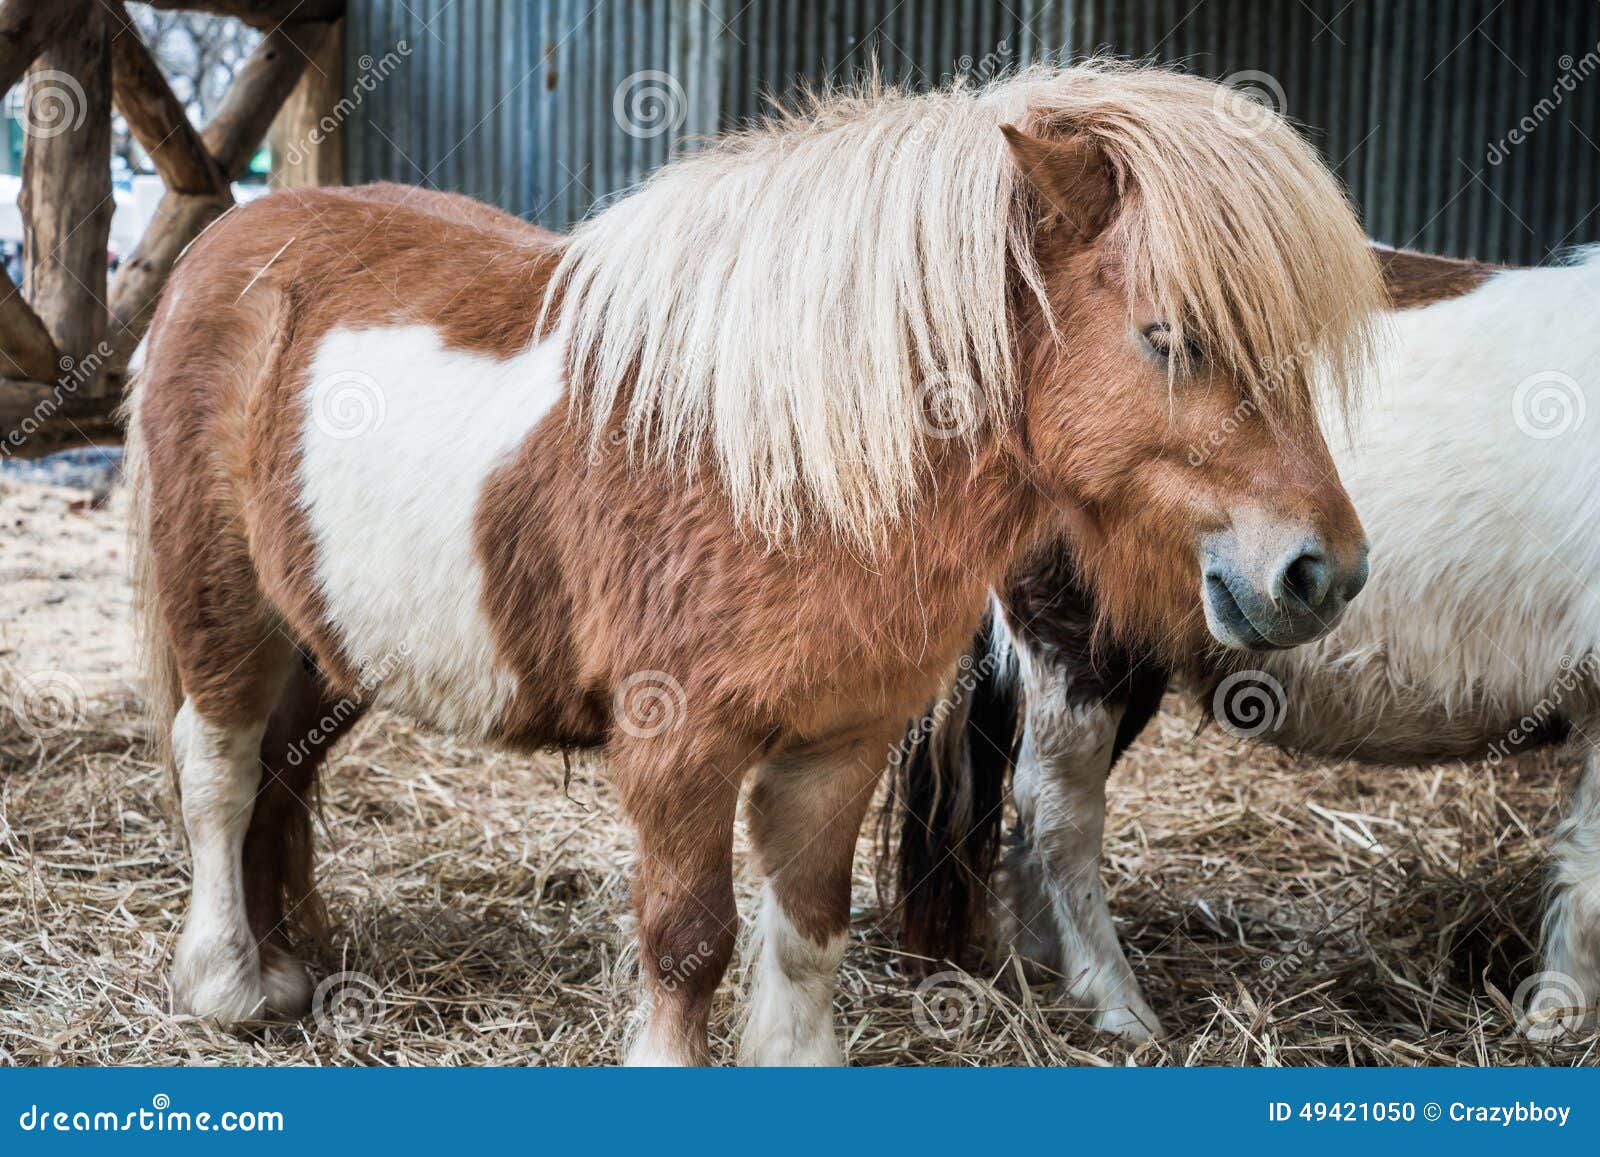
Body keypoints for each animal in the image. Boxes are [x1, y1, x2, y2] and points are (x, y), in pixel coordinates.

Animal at [124, 62, 1381, 1065]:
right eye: (1168, 338)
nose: (1320, 573)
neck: (781, 460)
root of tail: (229, 241)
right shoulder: (676, 747)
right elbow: (690, 938)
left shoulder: (837, 745)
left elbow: (808, 923)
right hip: (224, 607)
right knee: (222, 765)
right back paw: (232, 983)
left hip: (329, 637)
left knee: (283, 774)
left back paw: (298, 953)